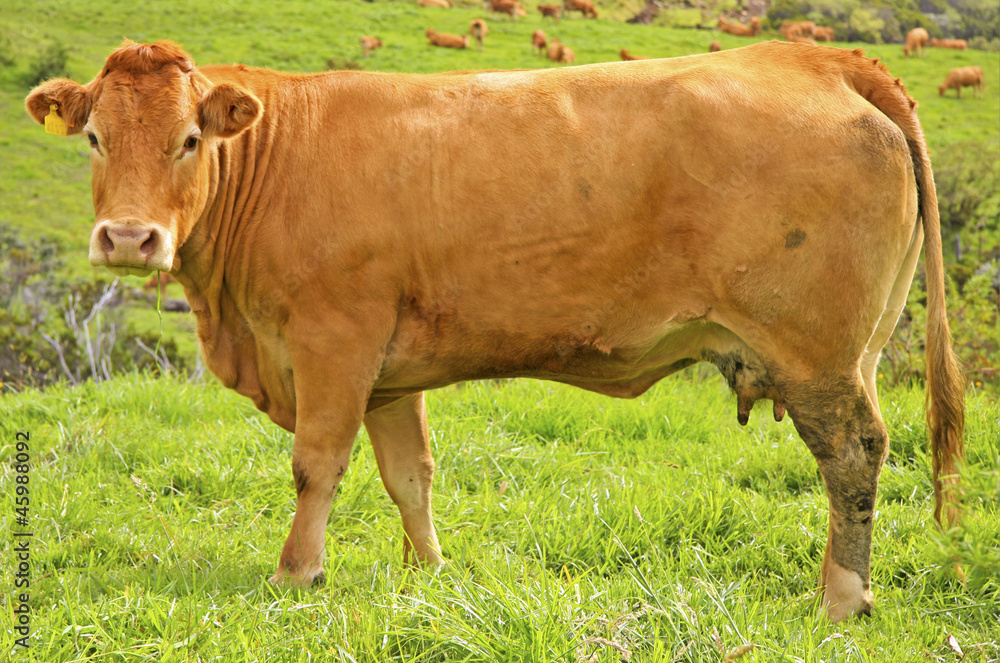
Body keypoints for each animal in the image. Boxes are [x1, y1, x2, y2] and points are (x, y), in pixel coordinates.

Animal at [26, 40, 964, 624]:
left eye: (189, 139)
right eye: (95, 137)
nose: (128, 239)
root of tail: (816, 57)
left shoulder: (335, 338)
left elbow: (316, 465)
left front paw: (298, 572)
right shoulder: (387, 371)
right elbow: (410, 474)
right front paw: (429, 574)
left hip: (818, 356)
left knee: (853, 456)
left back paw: (840, 599)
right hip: (854, 352)